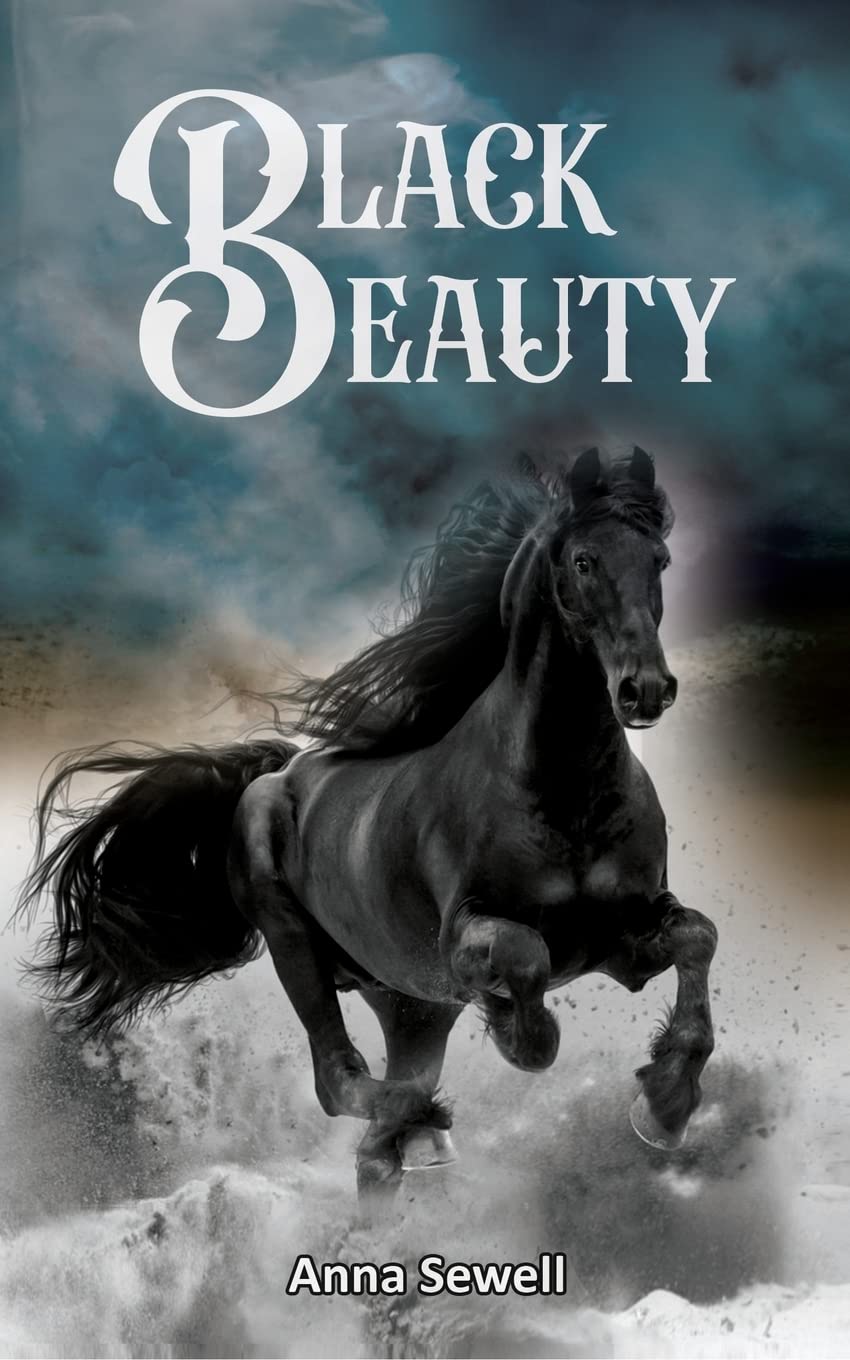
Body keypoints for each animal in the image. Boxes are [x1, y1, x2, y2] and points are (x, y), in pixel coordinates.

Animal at [18, 446, 717, 1200]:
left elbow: (697, 936)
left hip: (410, 1004)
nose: (645, 690)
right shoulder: (463, 938)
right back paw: (422, 1120)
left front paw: (664, 1106)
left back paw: (413, 1142)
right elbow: (525, 963)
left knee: (374, 1140)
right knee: (340, 1080)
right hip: (298, 947)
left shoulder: (622, 940)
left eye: (660, 559)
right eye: (584, 560)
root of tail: (274, 776)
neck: (568, 801)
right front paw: (513, 1027)